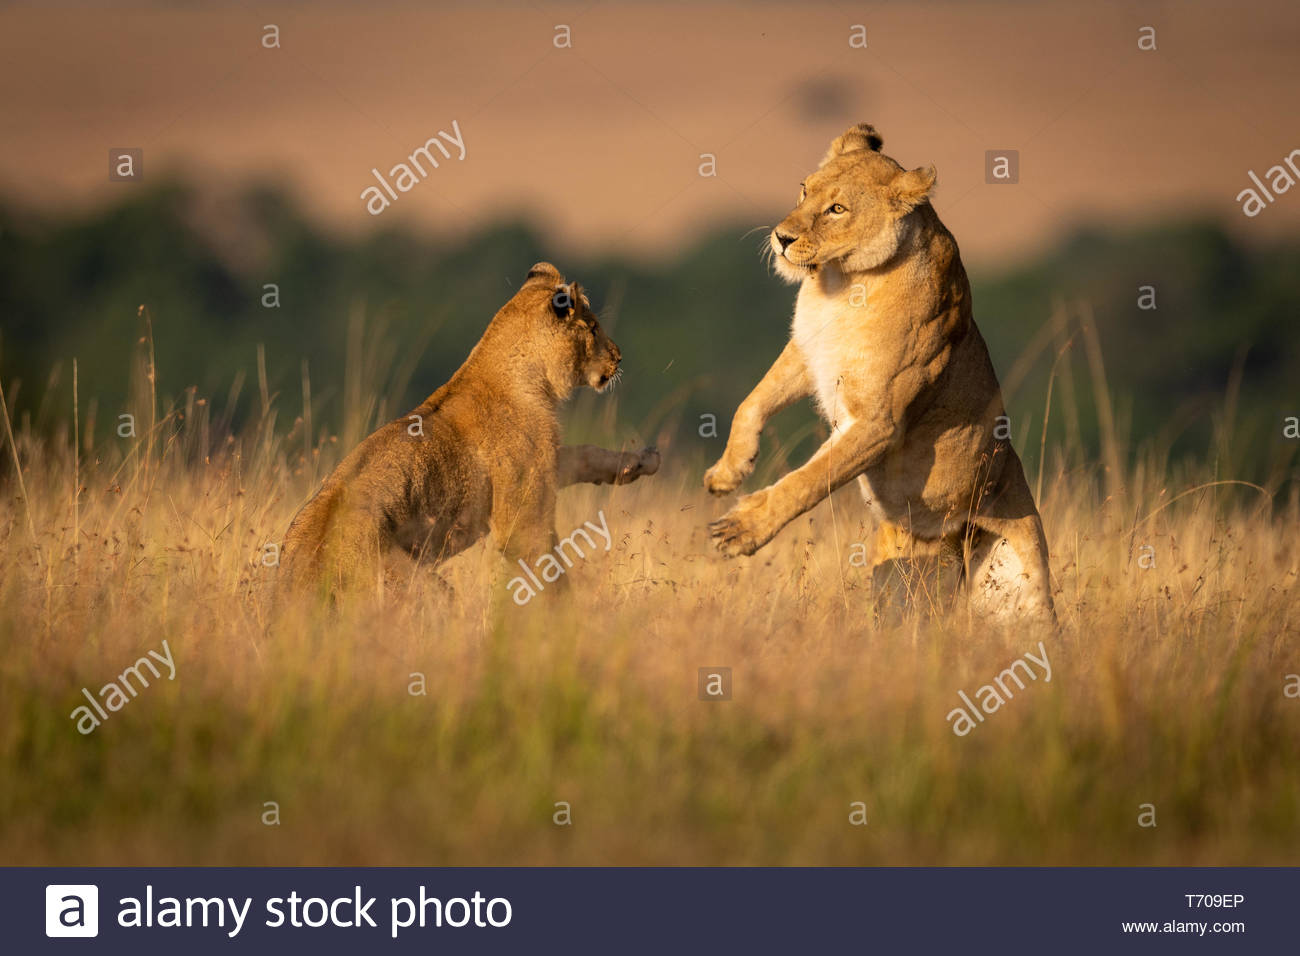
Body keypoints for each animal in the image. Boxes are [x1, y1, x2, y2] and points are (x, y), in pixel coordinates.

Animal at [278, 262, 660, 599]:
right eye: (593, 328)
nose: (619, 357)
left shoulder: (544, 461)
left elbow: (587, 454)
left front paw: (640, 462)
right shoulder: (520, 517)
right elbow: (546, 566)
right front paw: (568, 618)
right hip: (413, 582)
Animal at [703, 123, 1054, 623]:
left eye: (837, 209)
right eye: (804, 190)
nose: (781, 237)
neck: (839, 285)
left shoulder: (878, 422)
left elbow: (809, 479)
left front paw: (742, 530)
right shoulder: (808, 353)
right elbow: (750, 403)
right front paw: (727, 472)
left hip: (1023, 593)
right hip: (901, 582)